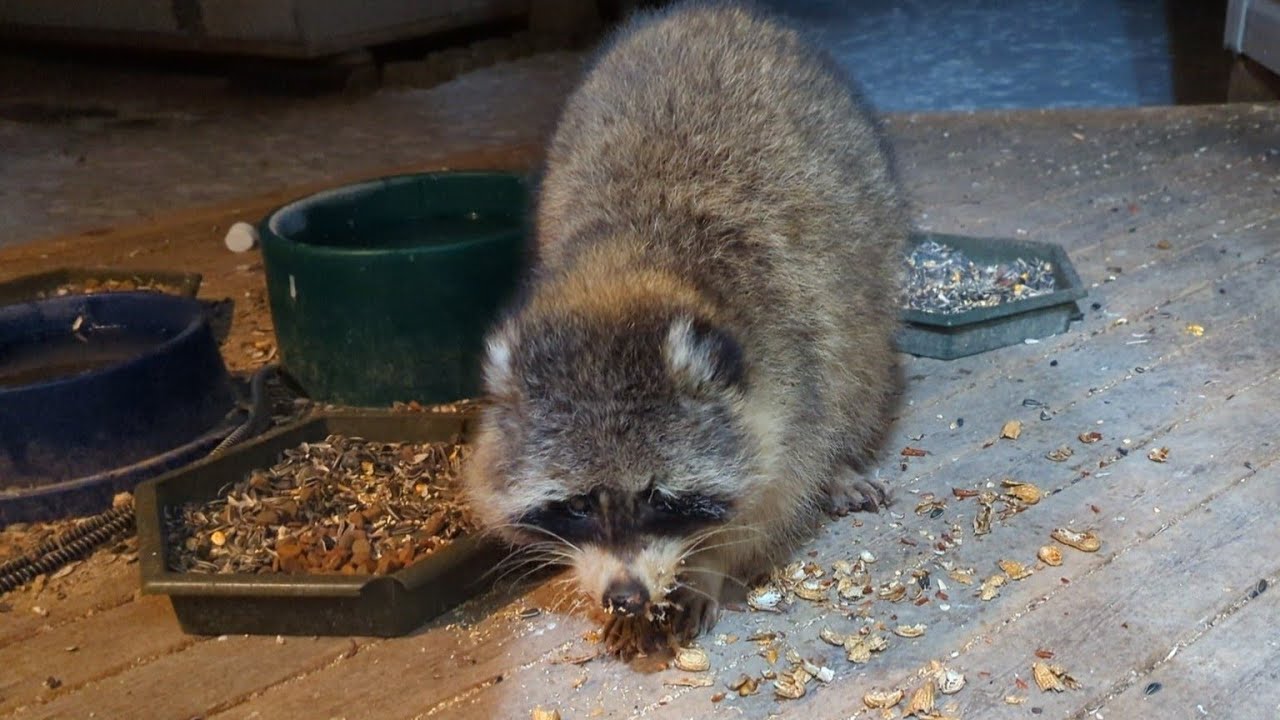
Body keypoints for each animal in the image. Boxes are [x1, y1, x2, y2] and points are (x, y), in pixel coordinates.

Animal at [463, 0, 909, 642]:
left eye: (659, 497)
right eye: (577, 505)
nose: (624, 595)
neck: (627, 268)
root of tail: (706, 12)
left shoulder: (792, 372)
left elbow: (772, 497)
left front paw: (706, 568)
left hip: (867, 229)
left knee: (859, 359)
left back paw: (844, 458)